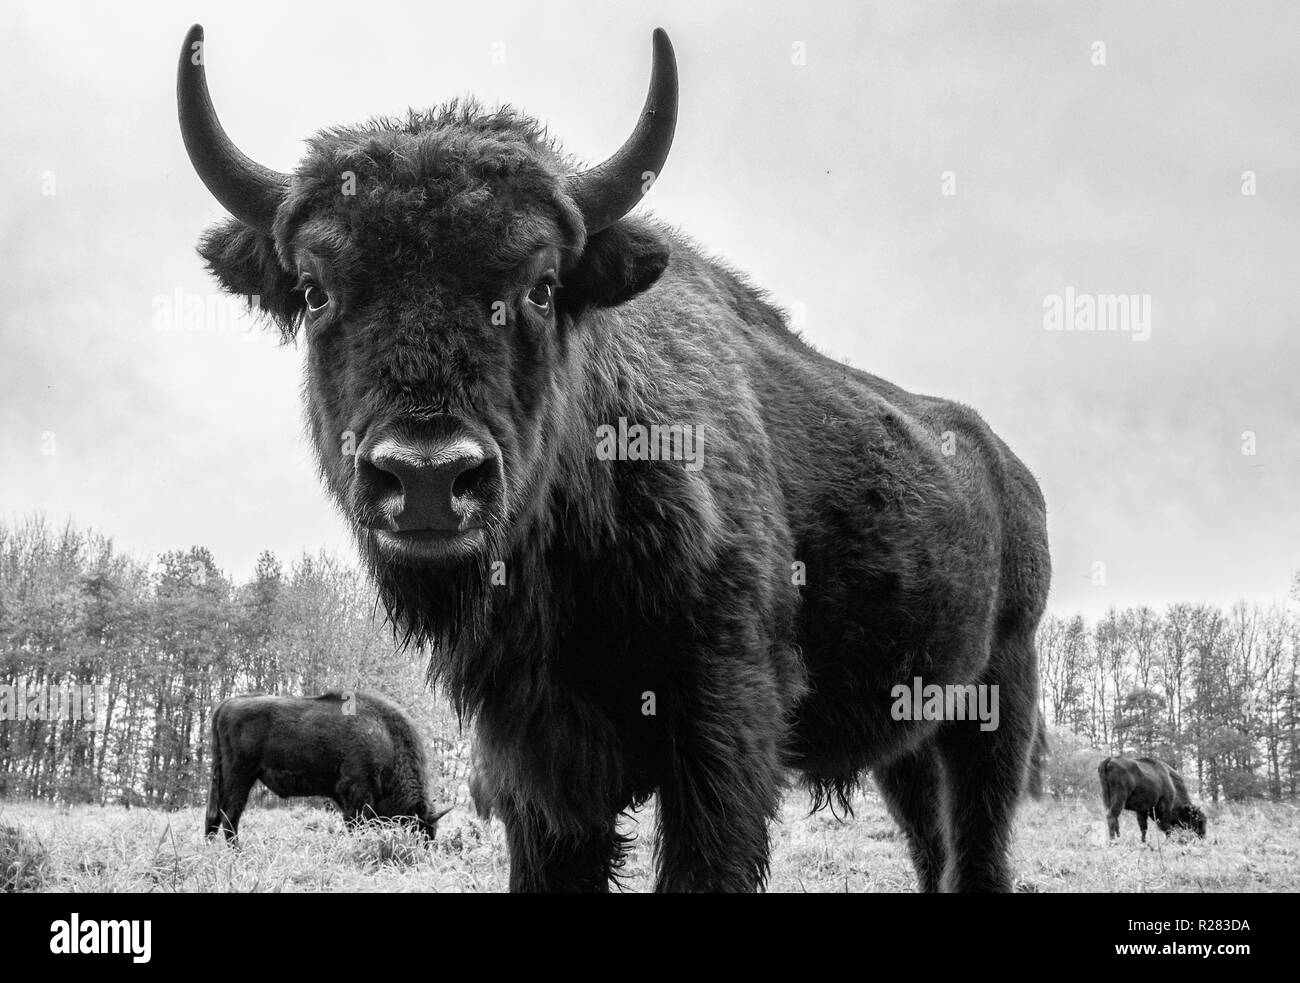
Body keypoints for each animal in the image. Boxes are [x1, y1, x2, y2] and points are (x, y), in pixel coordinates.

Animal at [205, 691, 450, 841]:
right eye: (418, 829)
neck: (387, 739)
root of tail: (227, 704)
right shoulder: (358, 796)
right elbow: (358, 825)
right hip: (240, 777)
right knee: (230, 815)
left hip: (221, 778)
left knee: (213, 815)